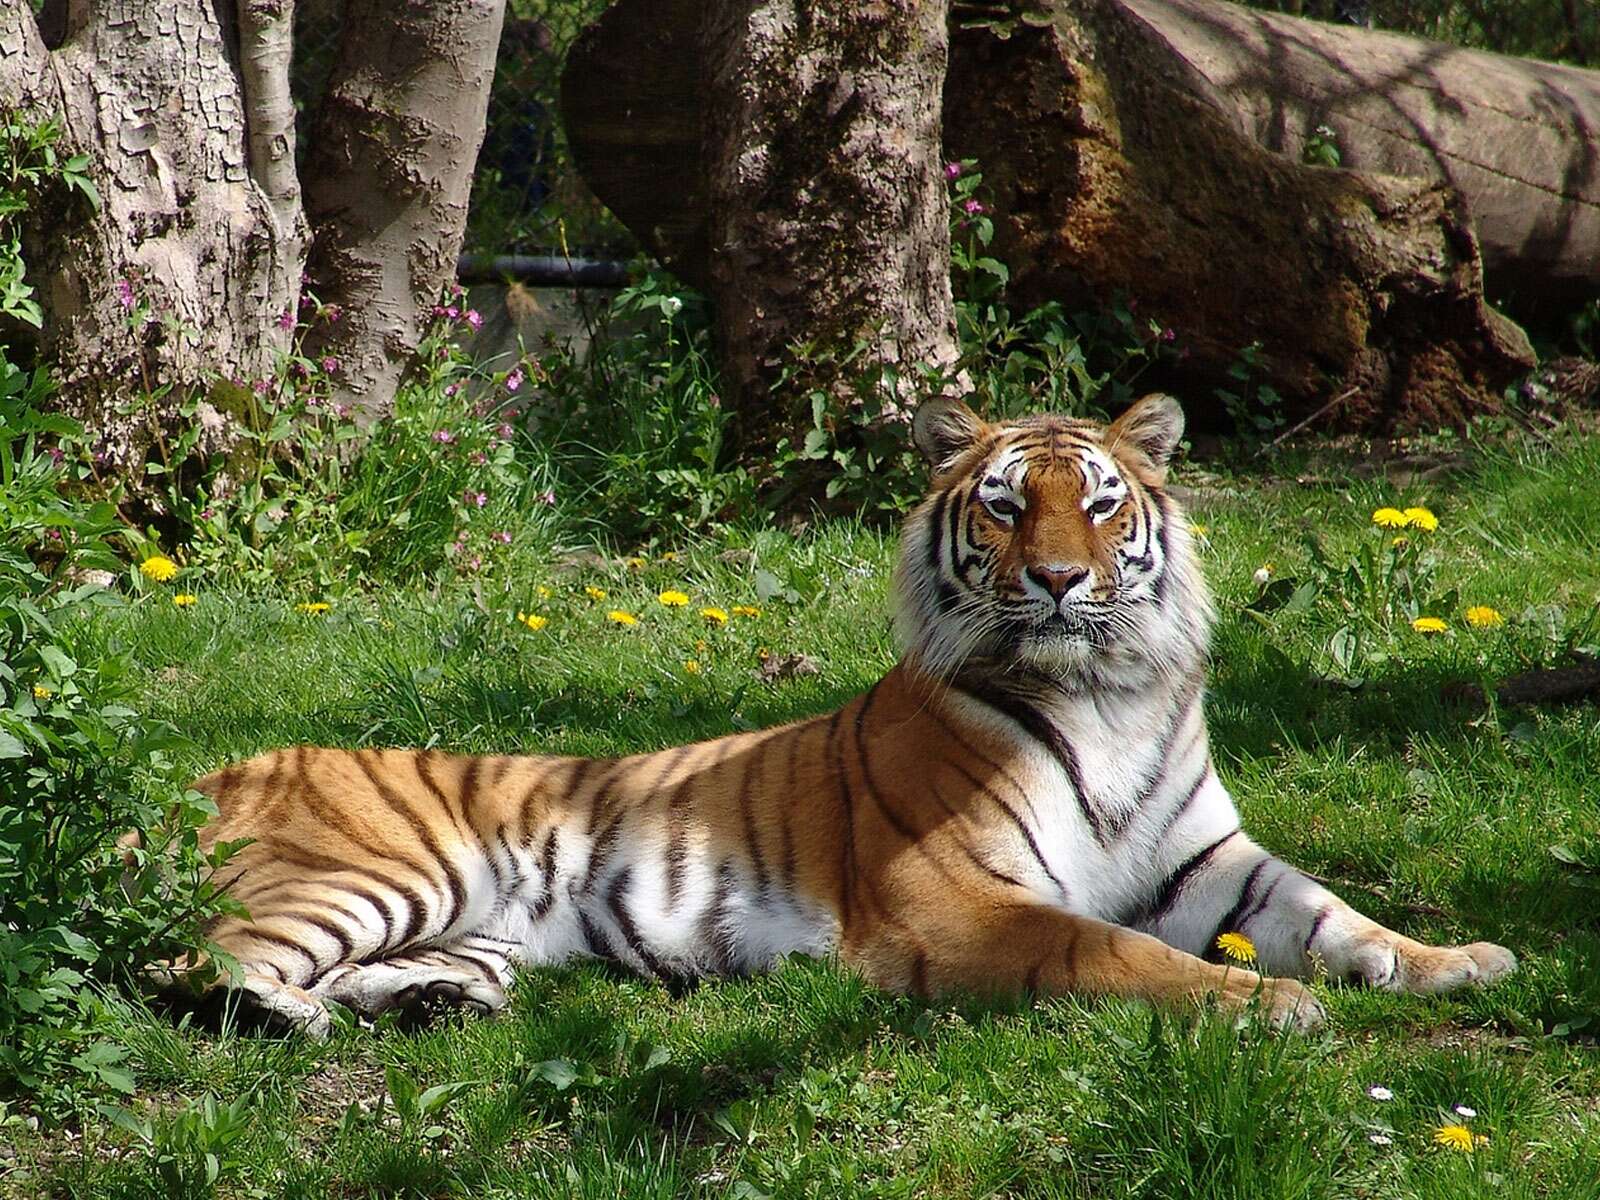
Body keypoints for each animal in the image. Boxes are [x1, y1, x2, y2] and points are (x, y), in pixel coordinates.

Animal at [168, 393, 1516, 1038]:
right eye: (1006, 507)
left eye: (1098, 503)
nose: (1059, 580)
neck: (1110, 694)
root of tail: (212, 771)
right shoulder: (955, 899)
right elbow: (1115, 951)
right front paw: (1270, 1006)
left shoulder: (1210, 861)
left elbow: (1336, 915)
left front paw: (1460, 960)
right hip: (379, 871)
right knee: (197, 959)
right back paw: (292, 1015)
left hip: (477, 928)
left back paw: (431, 1007)